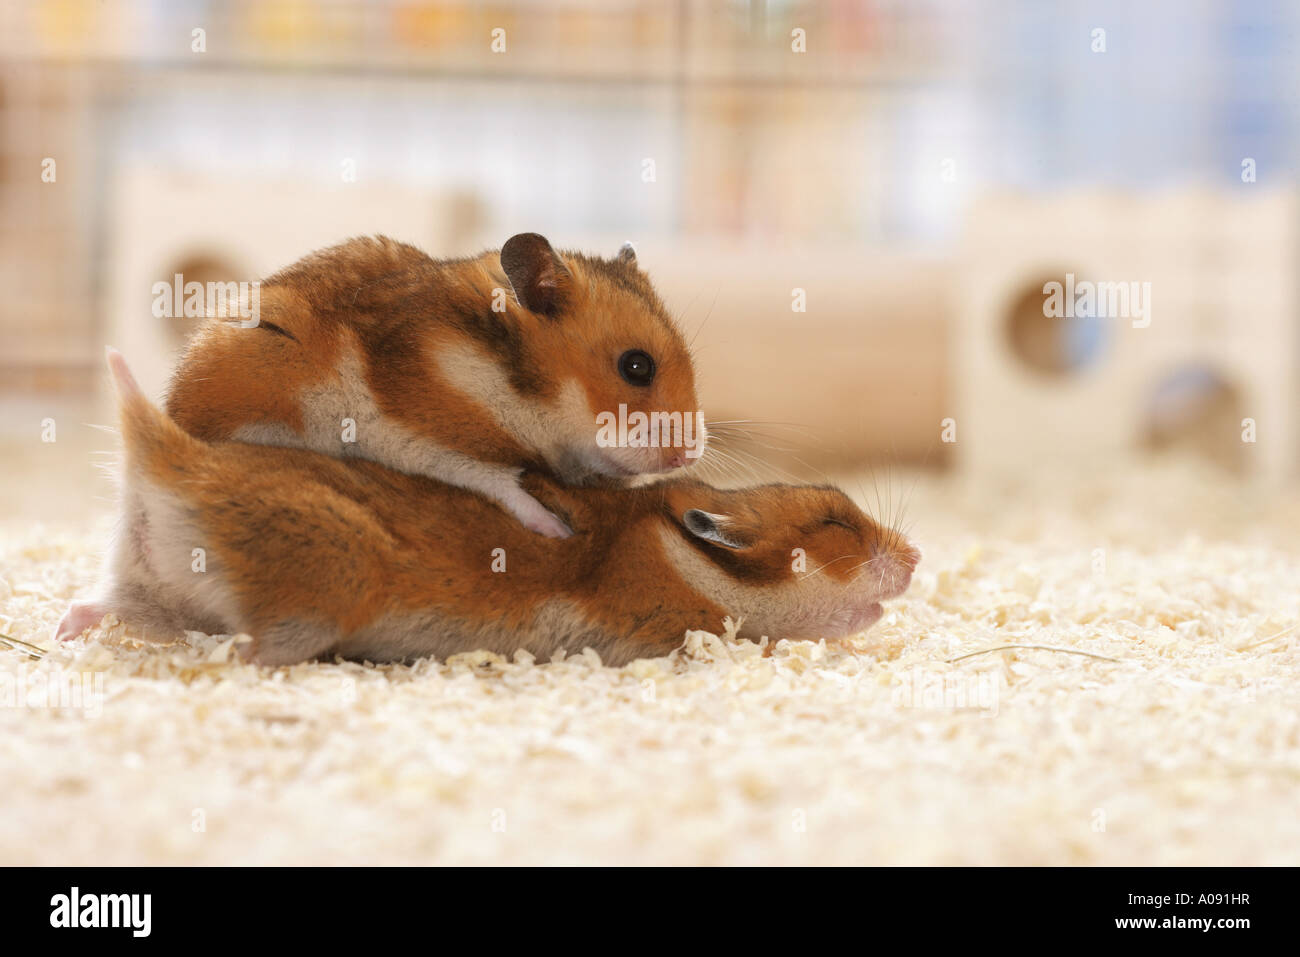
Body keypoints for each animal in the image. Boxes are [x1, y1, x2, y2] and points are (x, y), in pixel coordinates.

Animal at [55, 350, 918, 668]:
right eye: (836, 524)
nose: (916, 559)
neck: (681, 556)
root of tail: (167, 460)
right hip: (311, 598)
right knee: (240, 650)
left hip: (144, 581)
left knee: (100, 603)